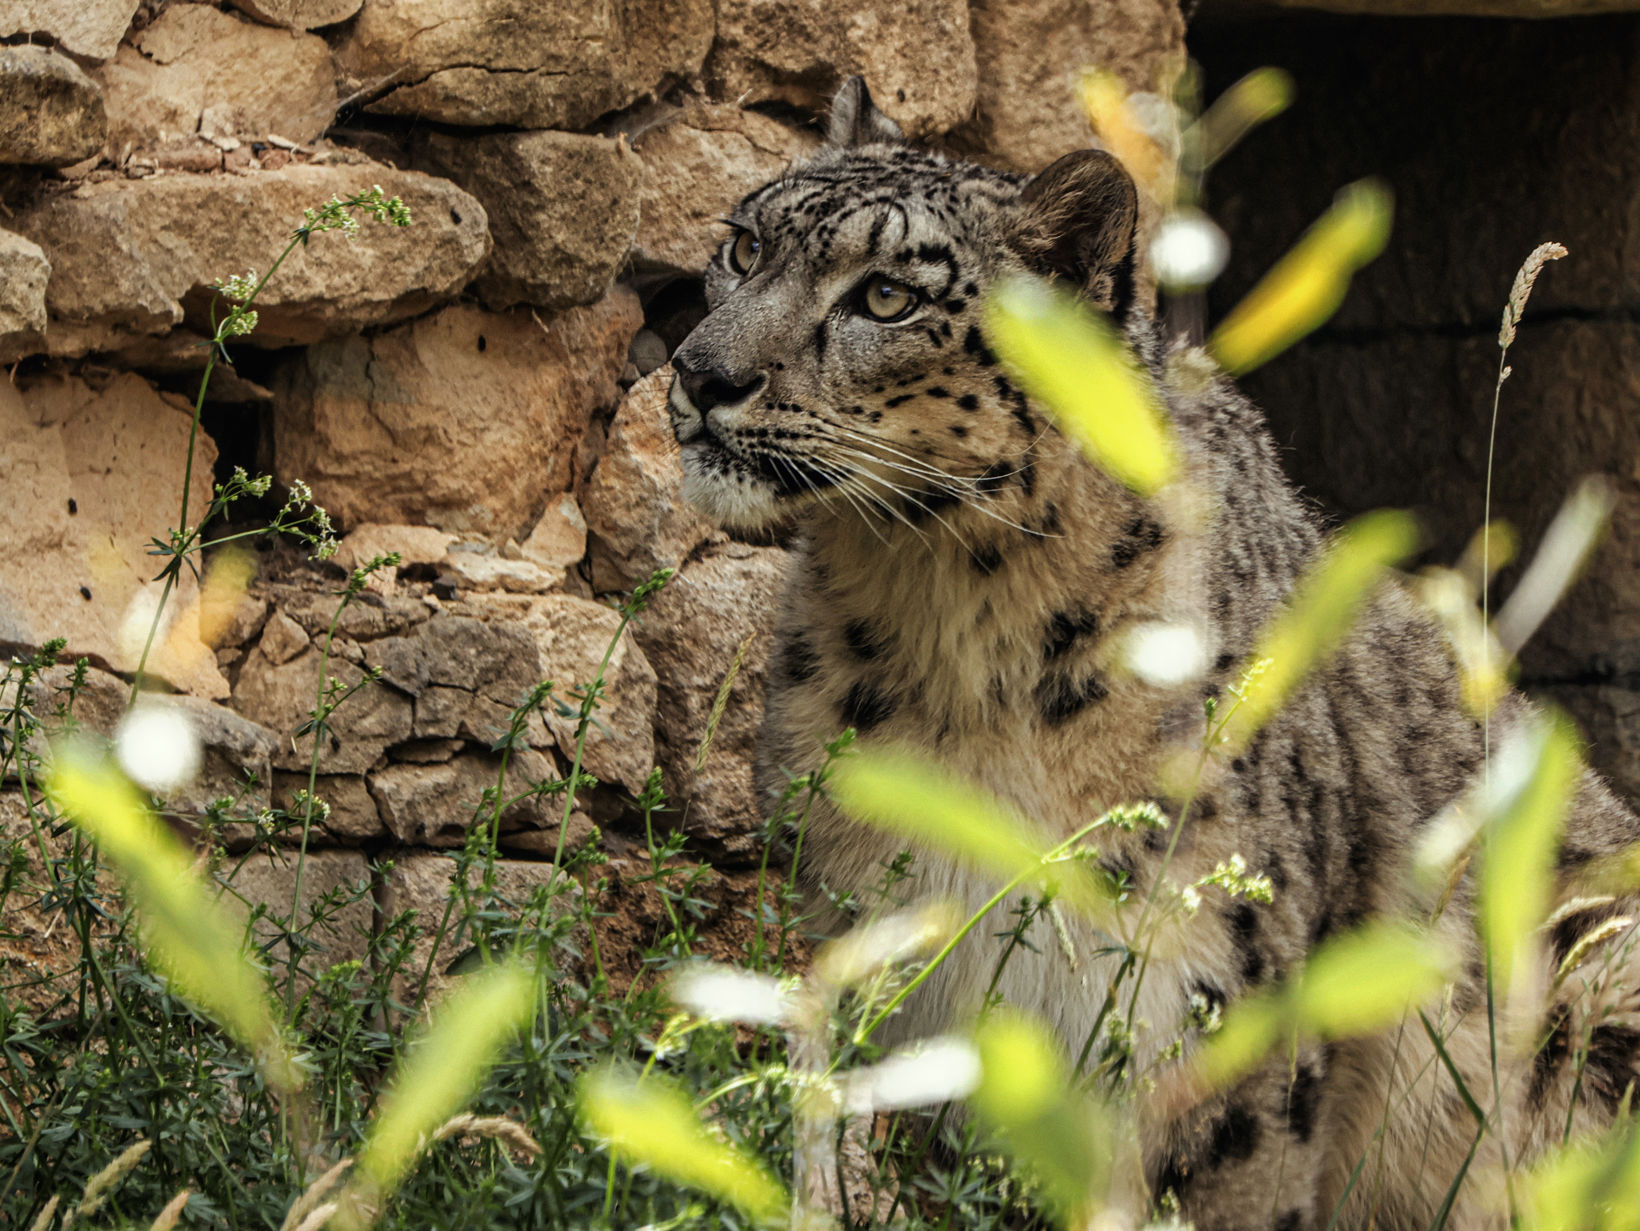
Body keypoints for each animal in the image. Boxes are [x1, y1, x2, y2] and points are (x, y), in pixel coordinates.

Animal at [666, 76, 1640, 1230]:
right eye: (742, 244)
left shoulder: (1213, 977)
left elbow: (1229, 1178)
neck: (955, 634)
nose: (699, 373)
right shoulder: (857, 921)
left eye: (888, 298)